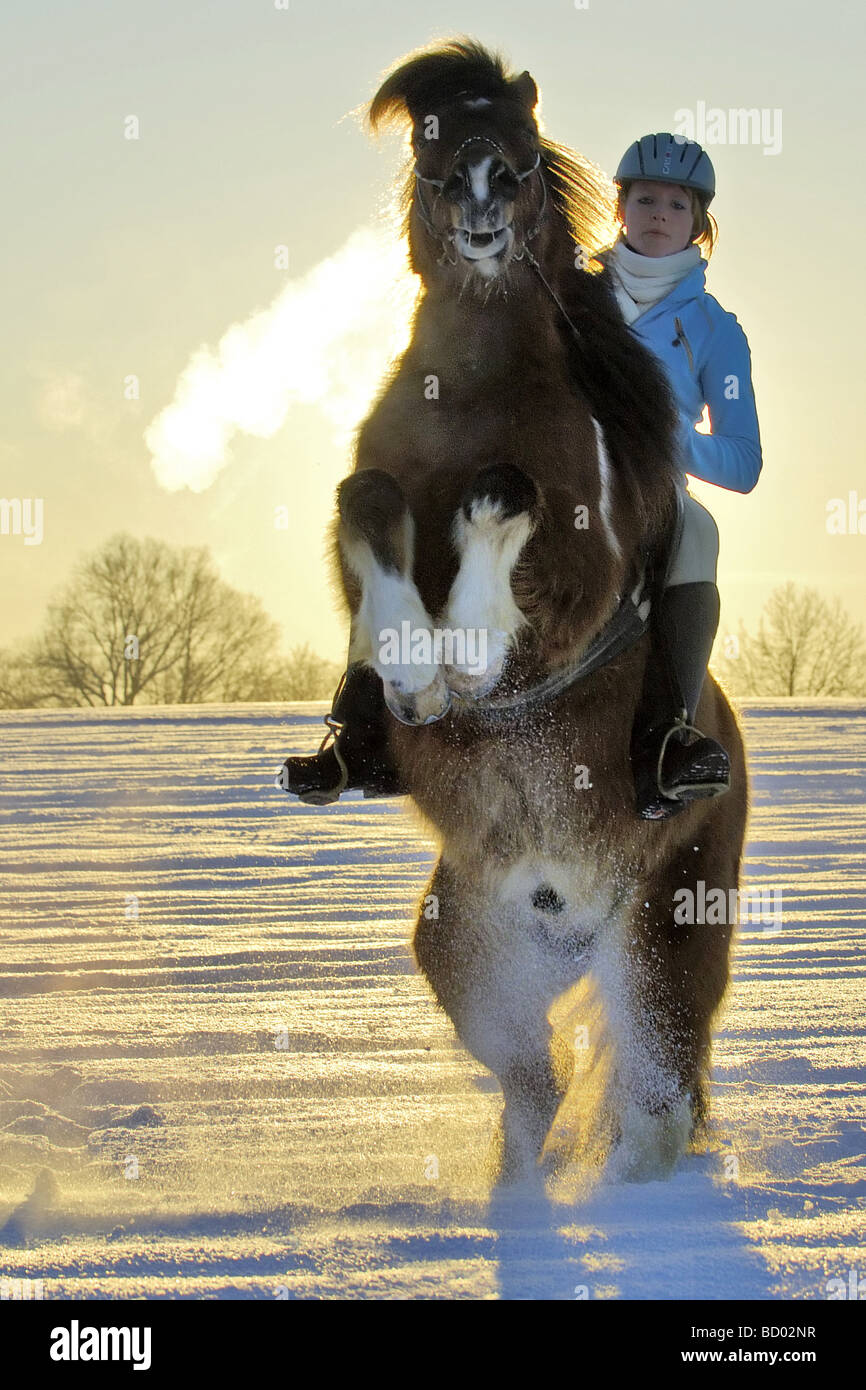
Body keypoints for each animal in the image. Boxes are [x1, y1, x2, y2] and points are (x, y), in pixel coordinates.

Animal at [330, 38, 748, 1184]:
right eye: (431, 138)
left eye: (515, 140)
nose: (478, 194)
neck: (470, 390)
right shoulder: (369, 512)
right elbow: (370, 503)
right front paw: (410, 675)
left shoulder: (568, 584)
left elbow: (503, 505)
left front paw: (454, 658)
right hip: (469, 953)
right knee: (536, 1087)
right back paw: (516, 1200)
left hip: (666, 937)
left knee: (652, 1103)